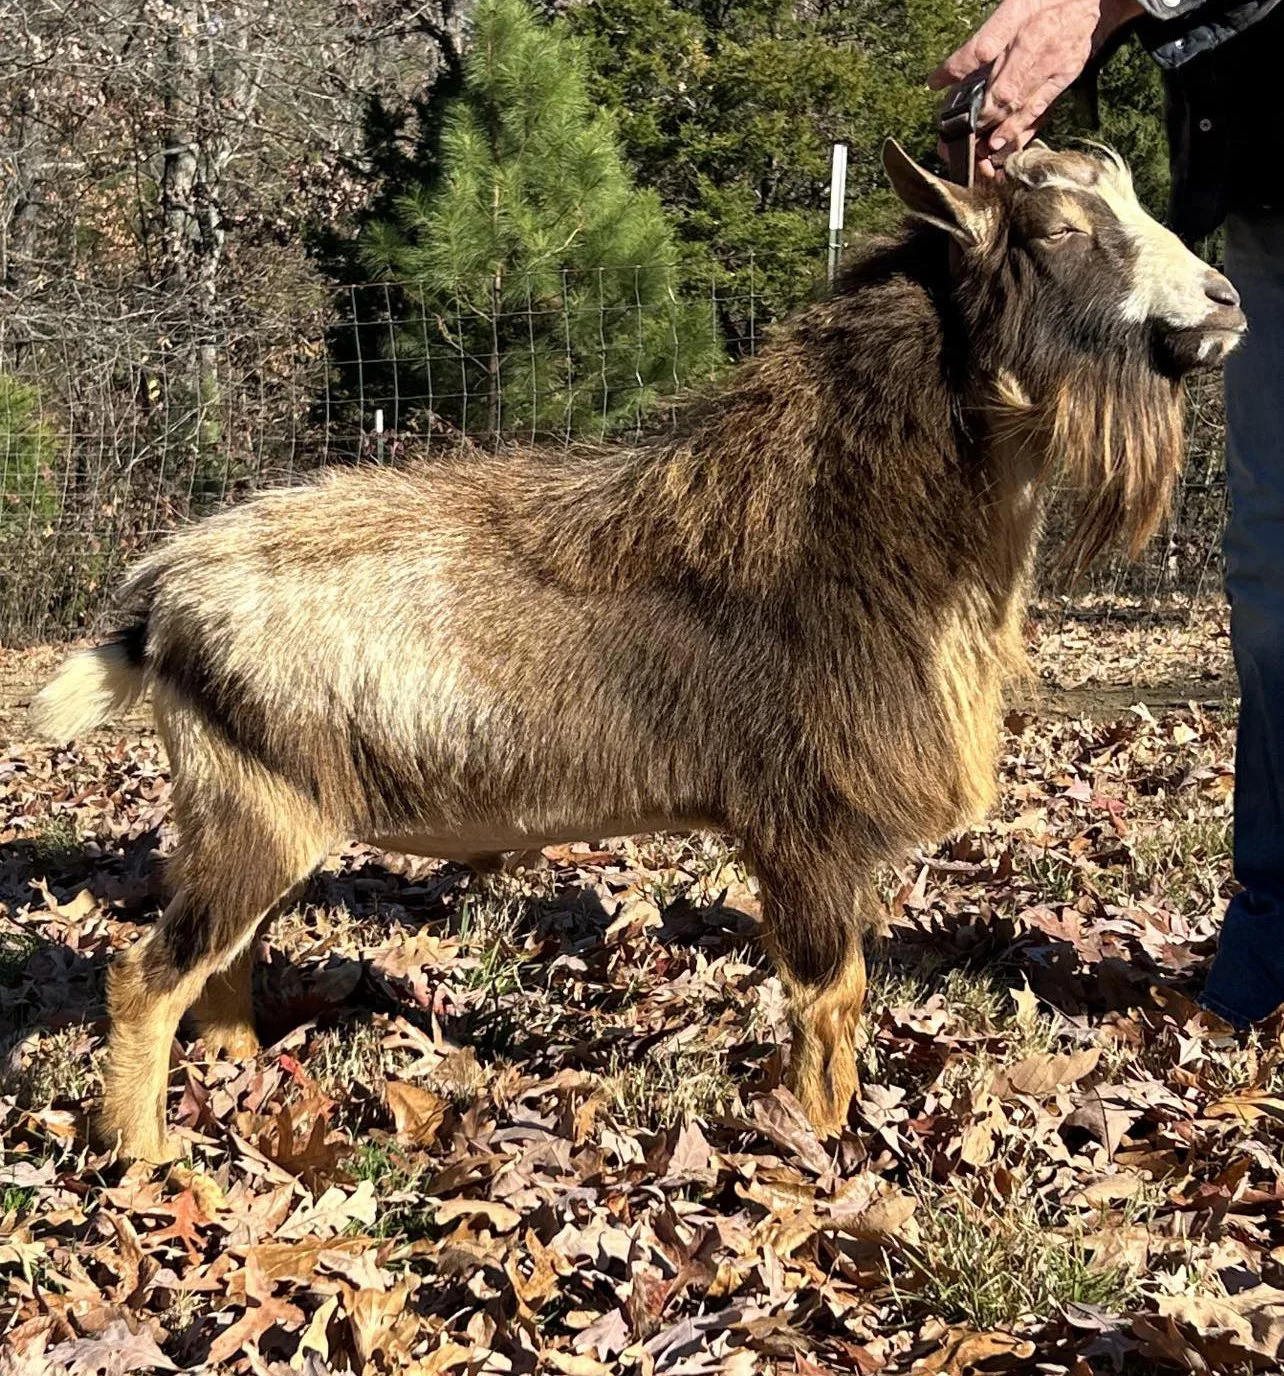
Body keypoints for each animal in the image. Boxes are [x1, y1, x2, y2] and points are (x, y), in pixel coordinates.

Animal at [34, 141, 1245, 1163]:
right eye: (1058, 229)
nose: (1224, 298)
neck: (832, 523)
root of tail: (160, 599)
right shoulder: (804, 822)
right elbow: (830, 999)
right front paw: (817, 1142)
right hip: (257, 809)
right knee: (146, 975)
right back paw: (140, 1156)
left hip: (253, 812)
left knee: (221, 961)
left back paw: (234, 1073)